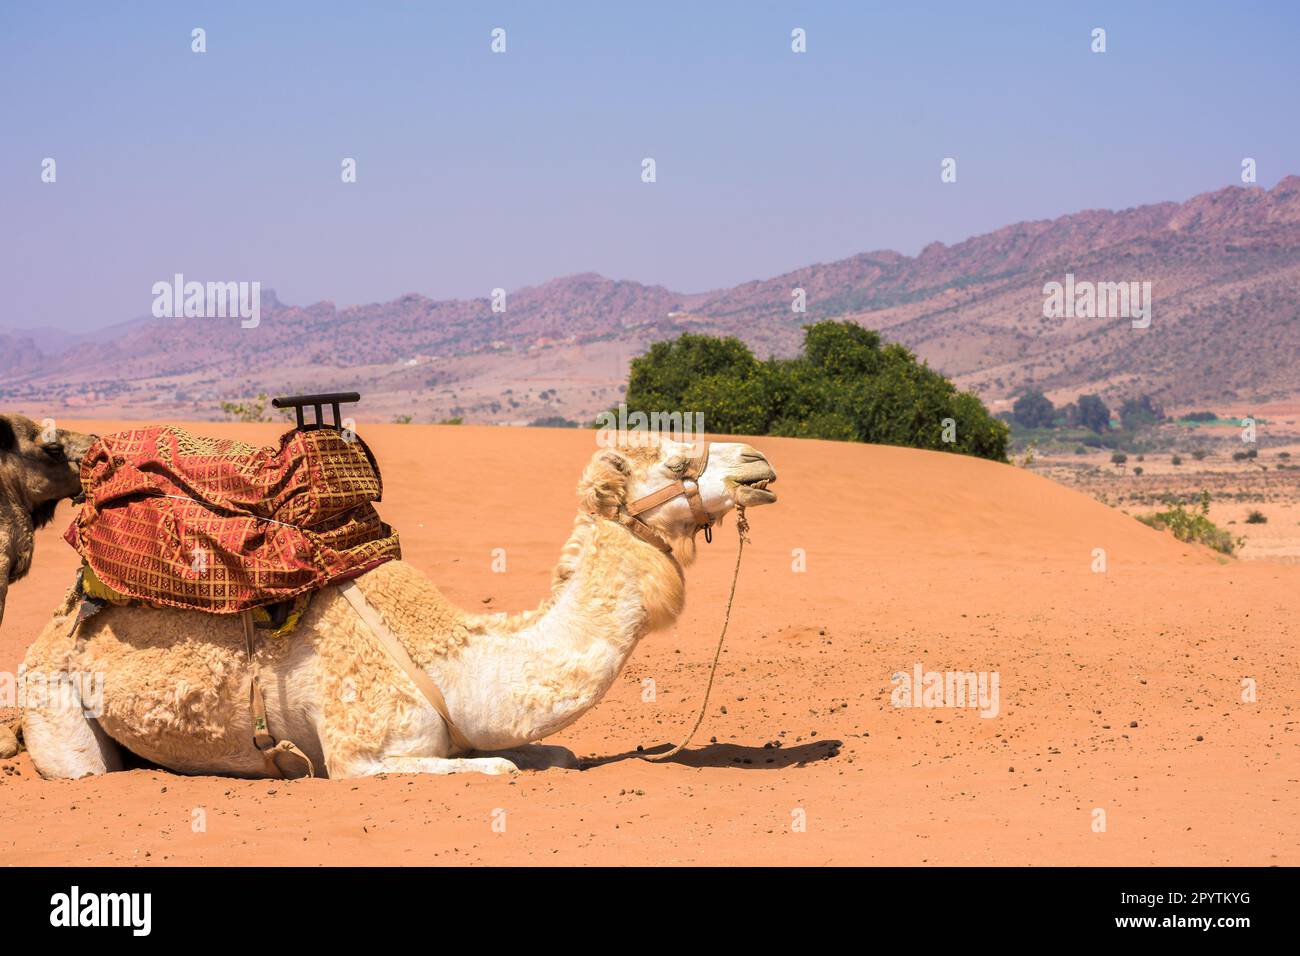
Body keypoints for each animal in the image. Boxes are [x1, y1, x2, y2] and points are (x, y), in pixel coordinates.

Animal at [19, 436, 777, 778]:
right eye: (676, 462)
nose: (759, 465)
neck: (455, 665)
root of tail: (45, 637)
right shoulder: (363, 755)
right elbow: (499, 769)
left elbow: (553, 754)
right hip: (53, 706)